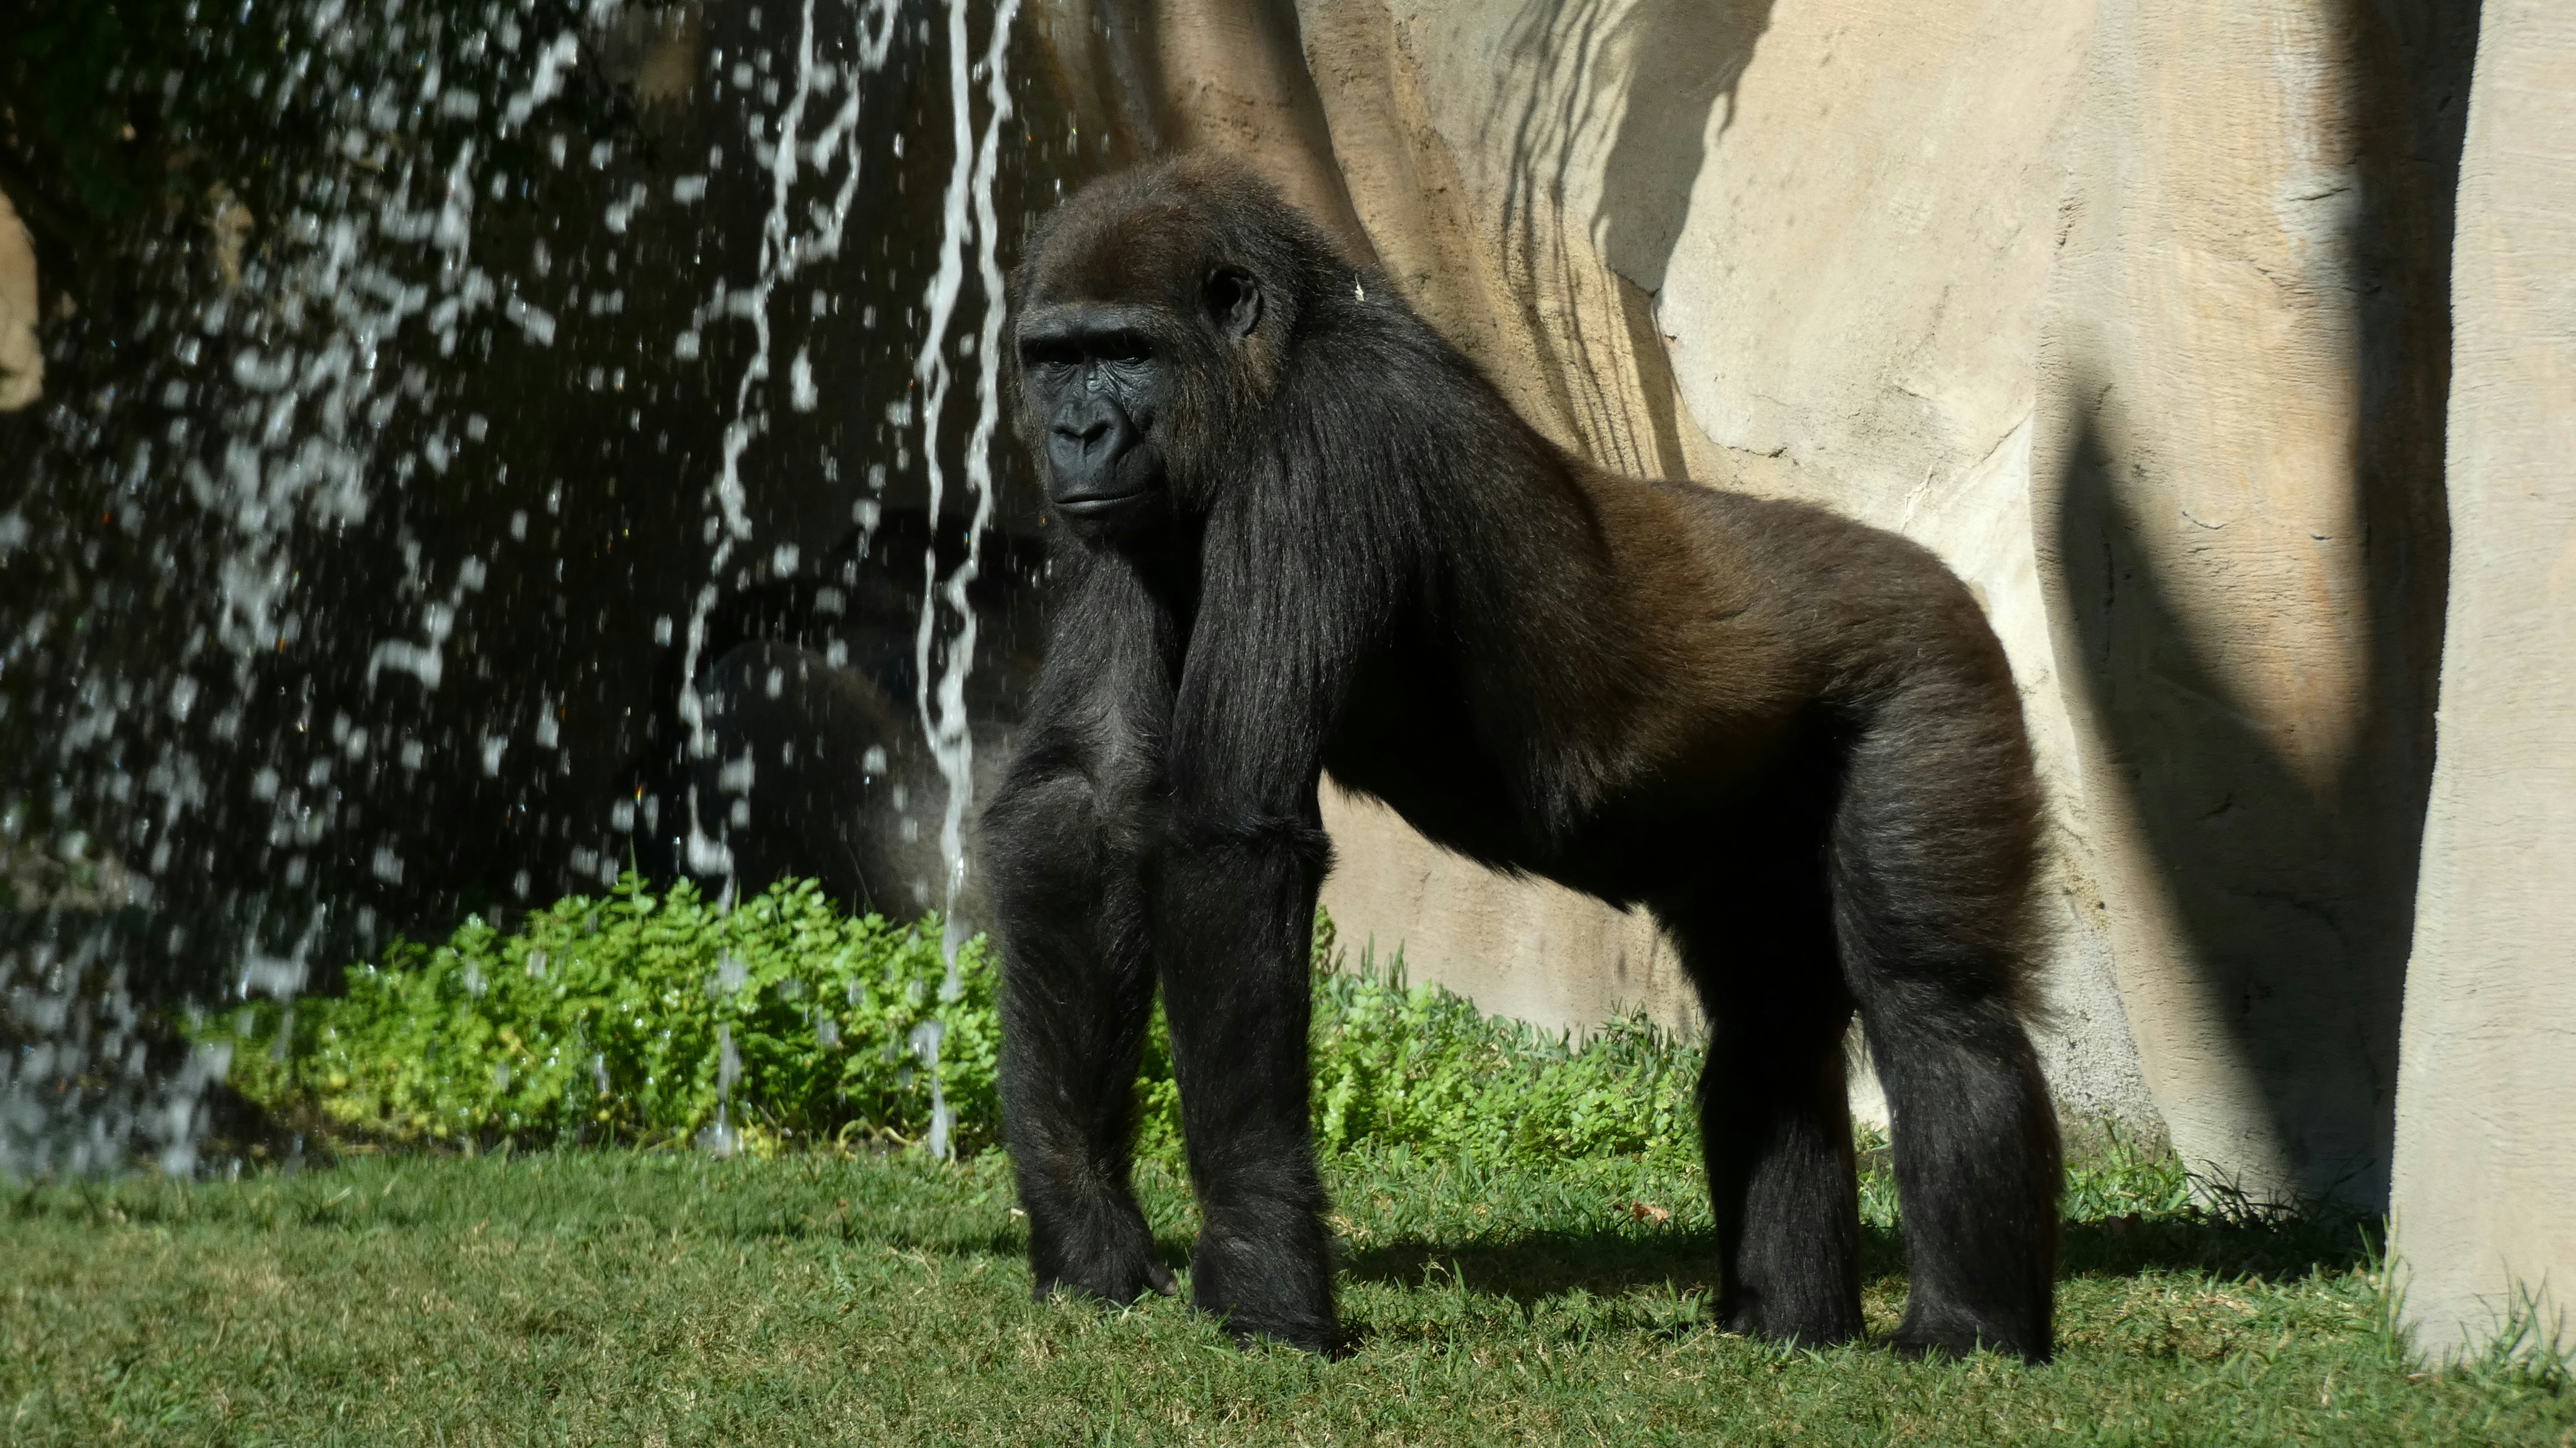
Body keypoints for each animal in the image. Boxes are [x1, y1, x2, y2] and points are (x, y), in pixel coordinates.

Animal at [979, 154, 2062, 1361]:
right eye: (1054, 357)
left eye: (1126, 350)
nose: (1077, 436)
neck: (1277, 354)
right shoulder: (1128, 515)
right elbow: (1085, 806)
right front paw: (1087, 1232)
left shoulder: (1330, 435)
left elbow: (1229, 835)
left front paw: (1258, 1268)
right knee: (1773, 1028)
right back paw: (1792, 1322)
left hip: (1936, 662)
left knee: (1938, 1003)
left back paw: (1969, 1325)